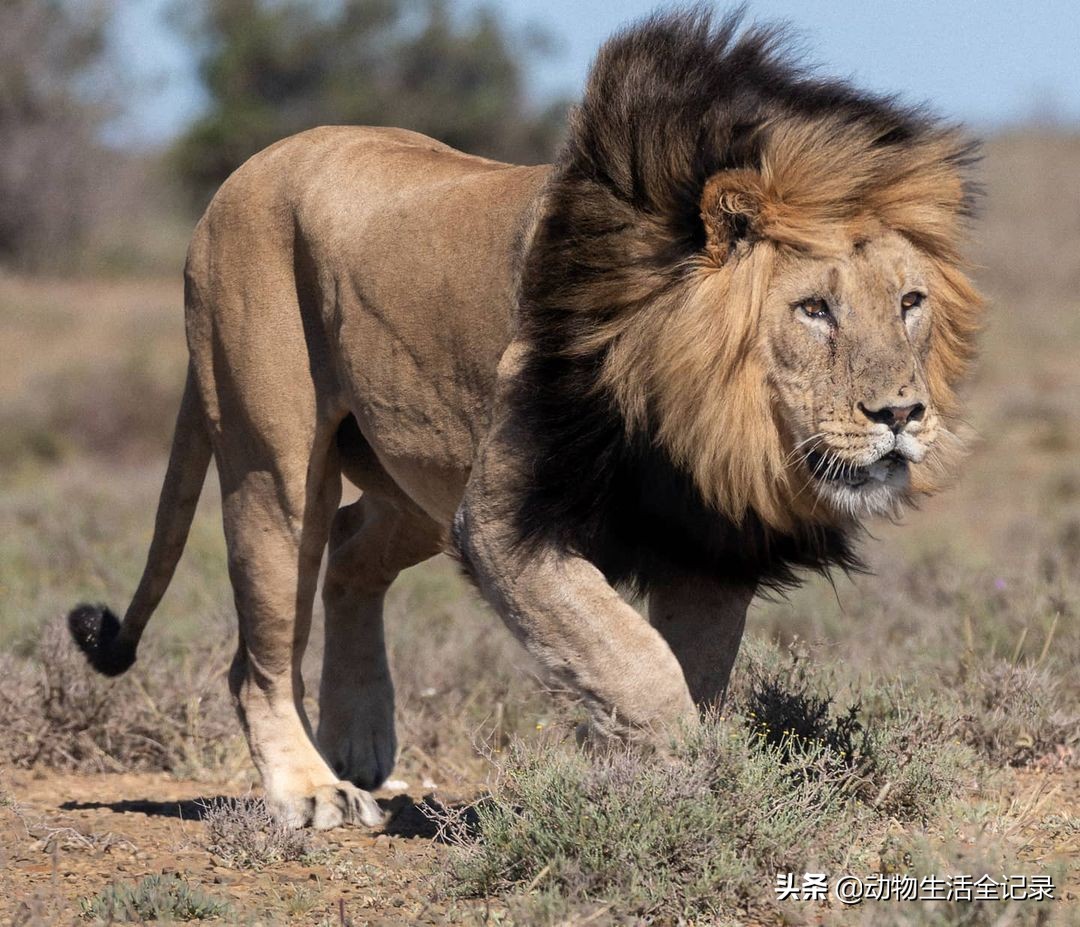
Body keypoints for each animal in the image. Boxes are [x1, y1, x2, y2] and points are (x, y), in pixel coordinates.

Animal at [68, 11, 982, 828]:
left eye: (909, 302)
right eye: (814, 309)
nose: (903, 413)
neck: (708, 416)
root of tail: (241, 175)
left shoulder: (707, 542)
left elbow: (688, 669)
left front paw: (667, 781)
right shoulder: (504, 520)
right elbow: (642, 667)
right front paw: (688, 785)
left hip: (419, 475)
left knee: (353, 551)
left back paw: (360, 742)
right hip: (276, 468)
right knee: (258, 653)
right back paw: (312, 789)